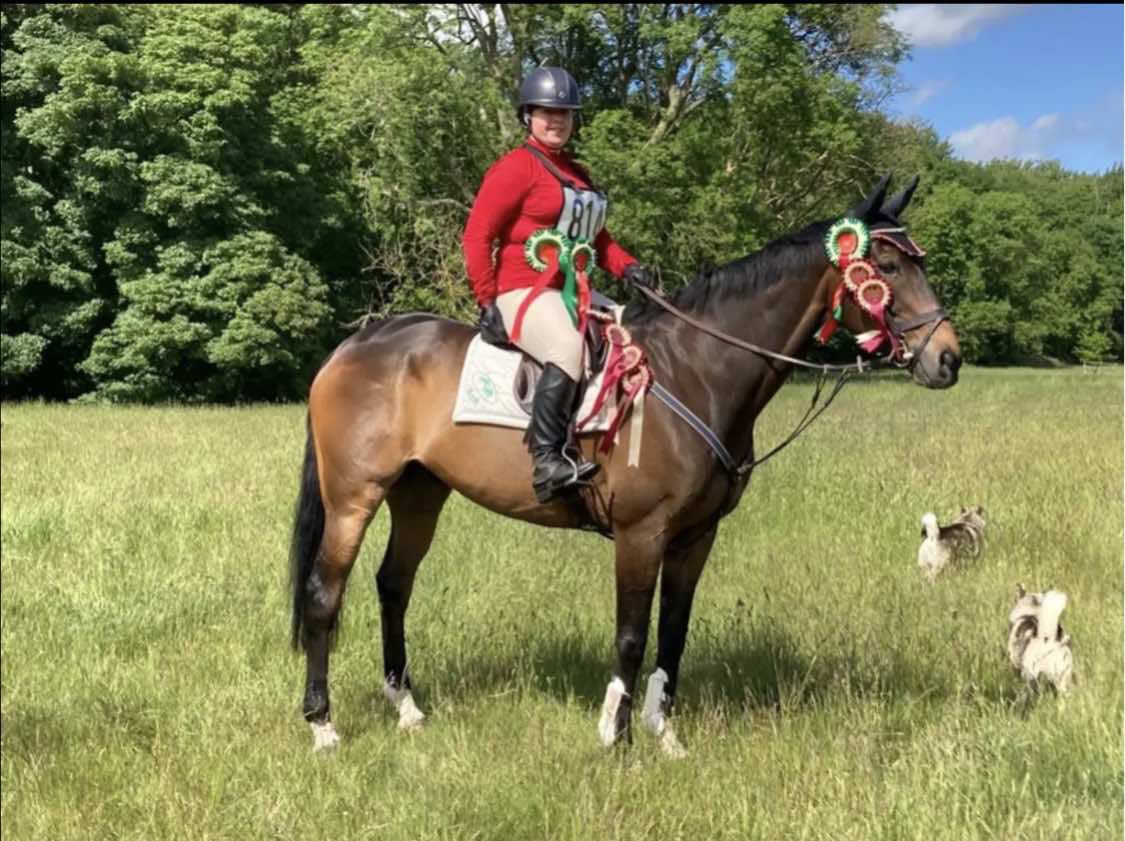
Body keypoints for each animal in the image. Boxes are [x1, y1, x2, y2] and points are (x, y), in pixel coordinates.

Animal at [288, 173, 962, 753]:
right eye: (889, 268)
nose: (948, 358)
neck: (698, 371)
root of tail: (356, 344)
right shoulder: (642, 533)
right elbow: (633, 636)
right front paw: (616, 734)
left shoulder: (696, 535)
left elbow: (673, 633)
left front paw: (666, 735)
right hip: (354, 497)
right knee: (325, 593)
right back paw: (322, 725)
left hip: (420, 492)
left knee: (393, 585)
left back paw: (407, 708)